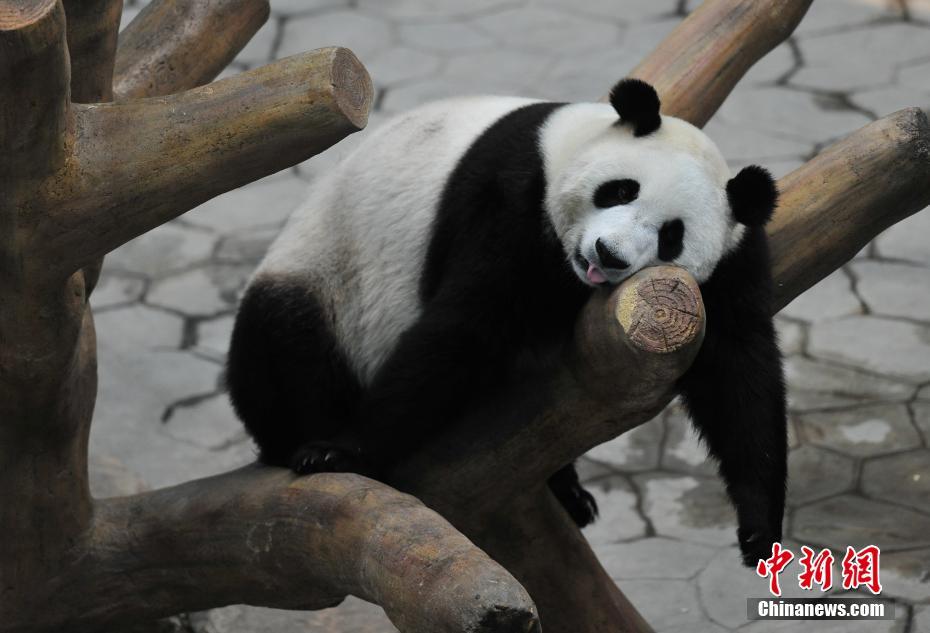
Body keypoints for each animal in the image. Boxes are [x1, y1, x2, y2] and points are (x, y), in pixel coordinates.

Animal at [225, 80, 784, 568]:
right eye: (621, 190)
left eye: (671, 236)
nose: (608, 254)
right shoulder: (512, 195)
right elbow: (465, 326)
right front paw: (340, 450)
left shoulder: (729, 267)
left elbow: (739, 371)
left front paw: (760, 530)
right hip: (325, 277)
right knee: (286, 343)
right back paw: (299, 438)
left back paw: (568, 492)